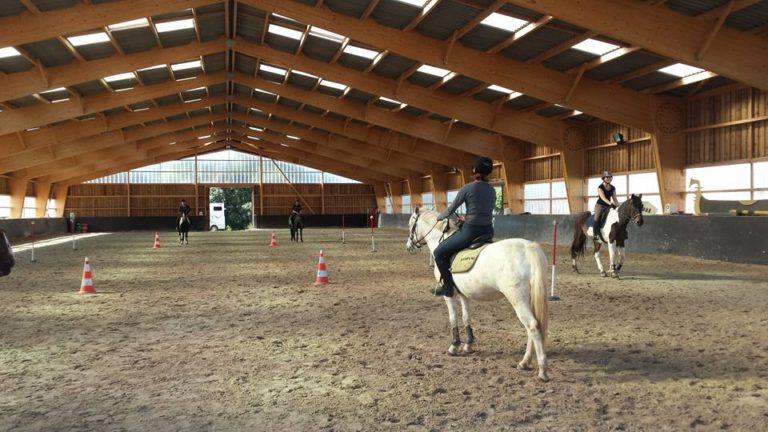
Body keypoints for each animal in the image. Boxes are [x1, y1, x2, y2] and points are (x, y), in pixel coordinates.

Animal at [404, 209, 548, 382]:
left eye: (411, 224)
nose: (409, 246)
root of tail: (527, 247)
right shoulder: (464, 294)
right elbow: (467, 318)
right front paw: (468, 346)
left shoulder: (449, 294)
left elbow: (453, 318)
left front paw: (454, 346)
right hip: (528, 299)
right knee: (532, 328)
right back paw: (525, 362)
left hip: (518, 299)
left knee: (532, 326)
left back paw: (542, 370)